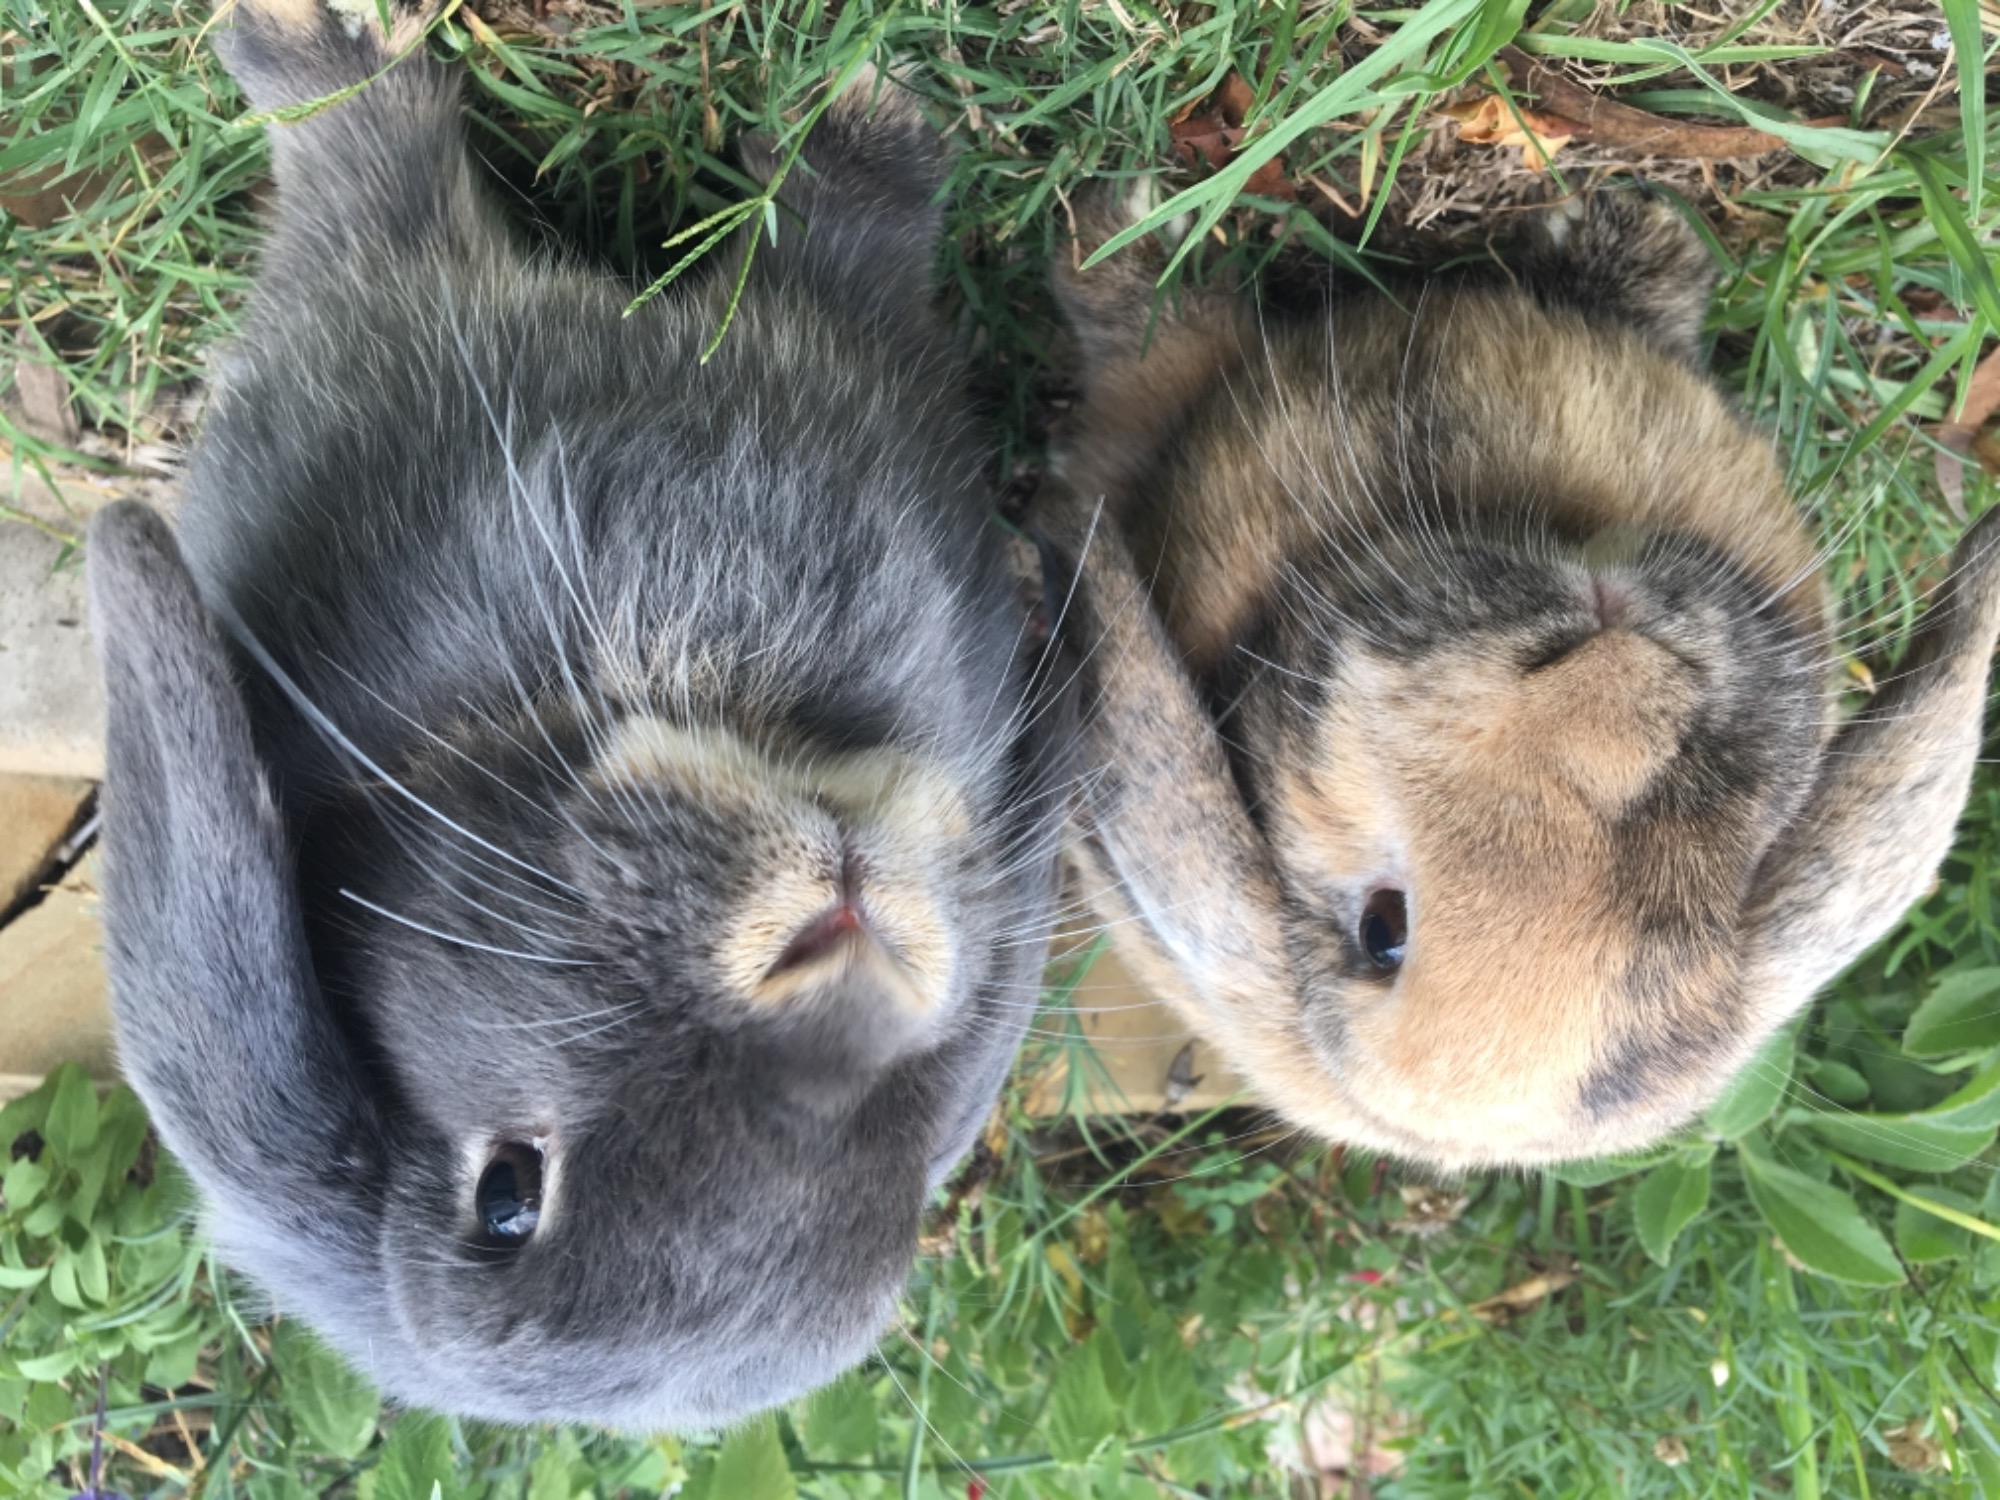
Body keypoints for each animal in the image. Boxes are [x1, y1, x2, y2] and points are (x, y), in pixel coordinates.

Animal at [84, 0, 1071, 1431]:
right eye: (508, 1196)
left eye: (909, 1120)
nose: (834, 967)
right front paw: (868, 102)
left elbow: (842, 242)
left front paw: (866, 106)